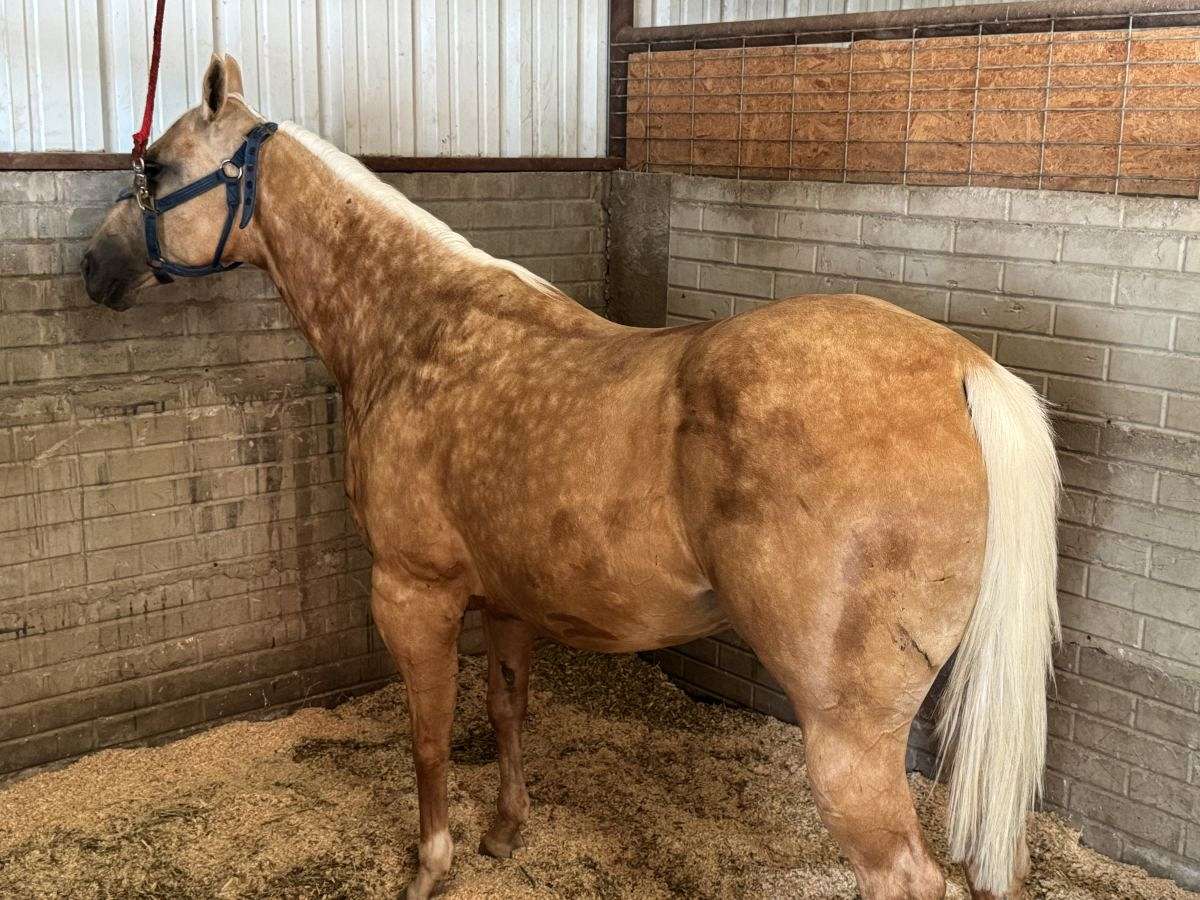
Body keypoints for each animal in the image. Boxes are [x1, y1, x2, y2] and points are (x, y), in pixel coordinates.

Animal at [82, 54, 1060, 900]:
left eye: (157, 169)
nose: (91, 267)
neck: (416, 331)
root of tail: (960, 366)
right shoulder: (509, 599)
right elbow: (507, 711)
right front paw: (505, 832)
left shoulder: (412, 593)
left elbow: (428, 739)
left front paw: (430, 865)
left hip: (847, 736)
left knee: (903, 874)